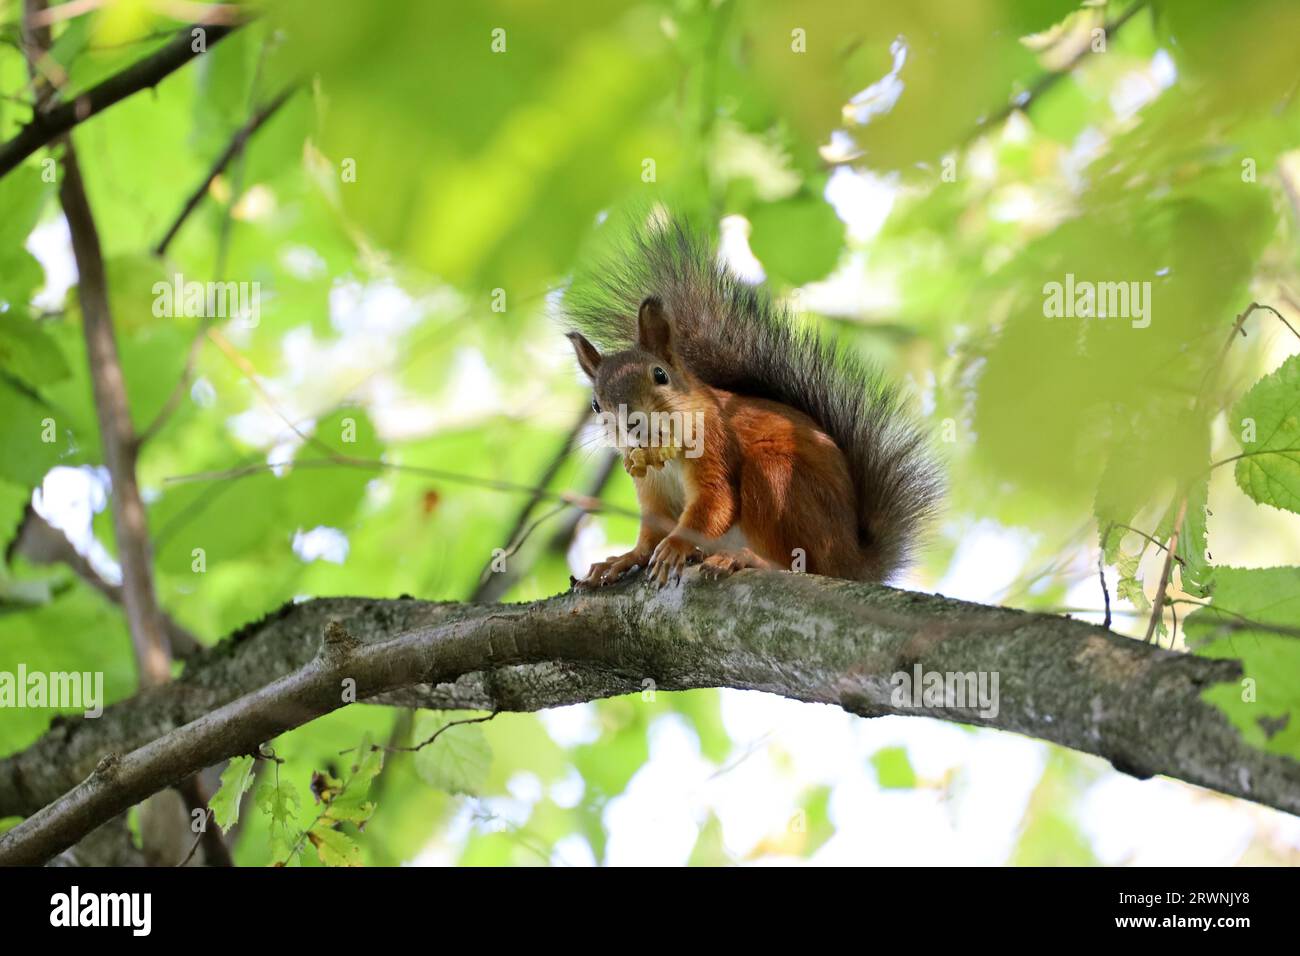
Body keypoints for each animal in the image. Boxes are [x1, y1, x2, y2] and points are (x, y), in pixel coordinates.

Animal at [564, 215, 941, 589]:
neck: (666, 454)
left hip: (776, 477)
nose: (632, 422)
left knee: (794, 560)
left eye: (660, 375)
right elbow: (650, 533)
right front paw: (623, 560)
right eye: (596, 405)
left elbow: (714, 504)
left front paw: (675, 546)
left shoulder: (716, 446)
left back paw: (744, 558)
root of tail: (851, 562)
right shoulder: (650, 488)